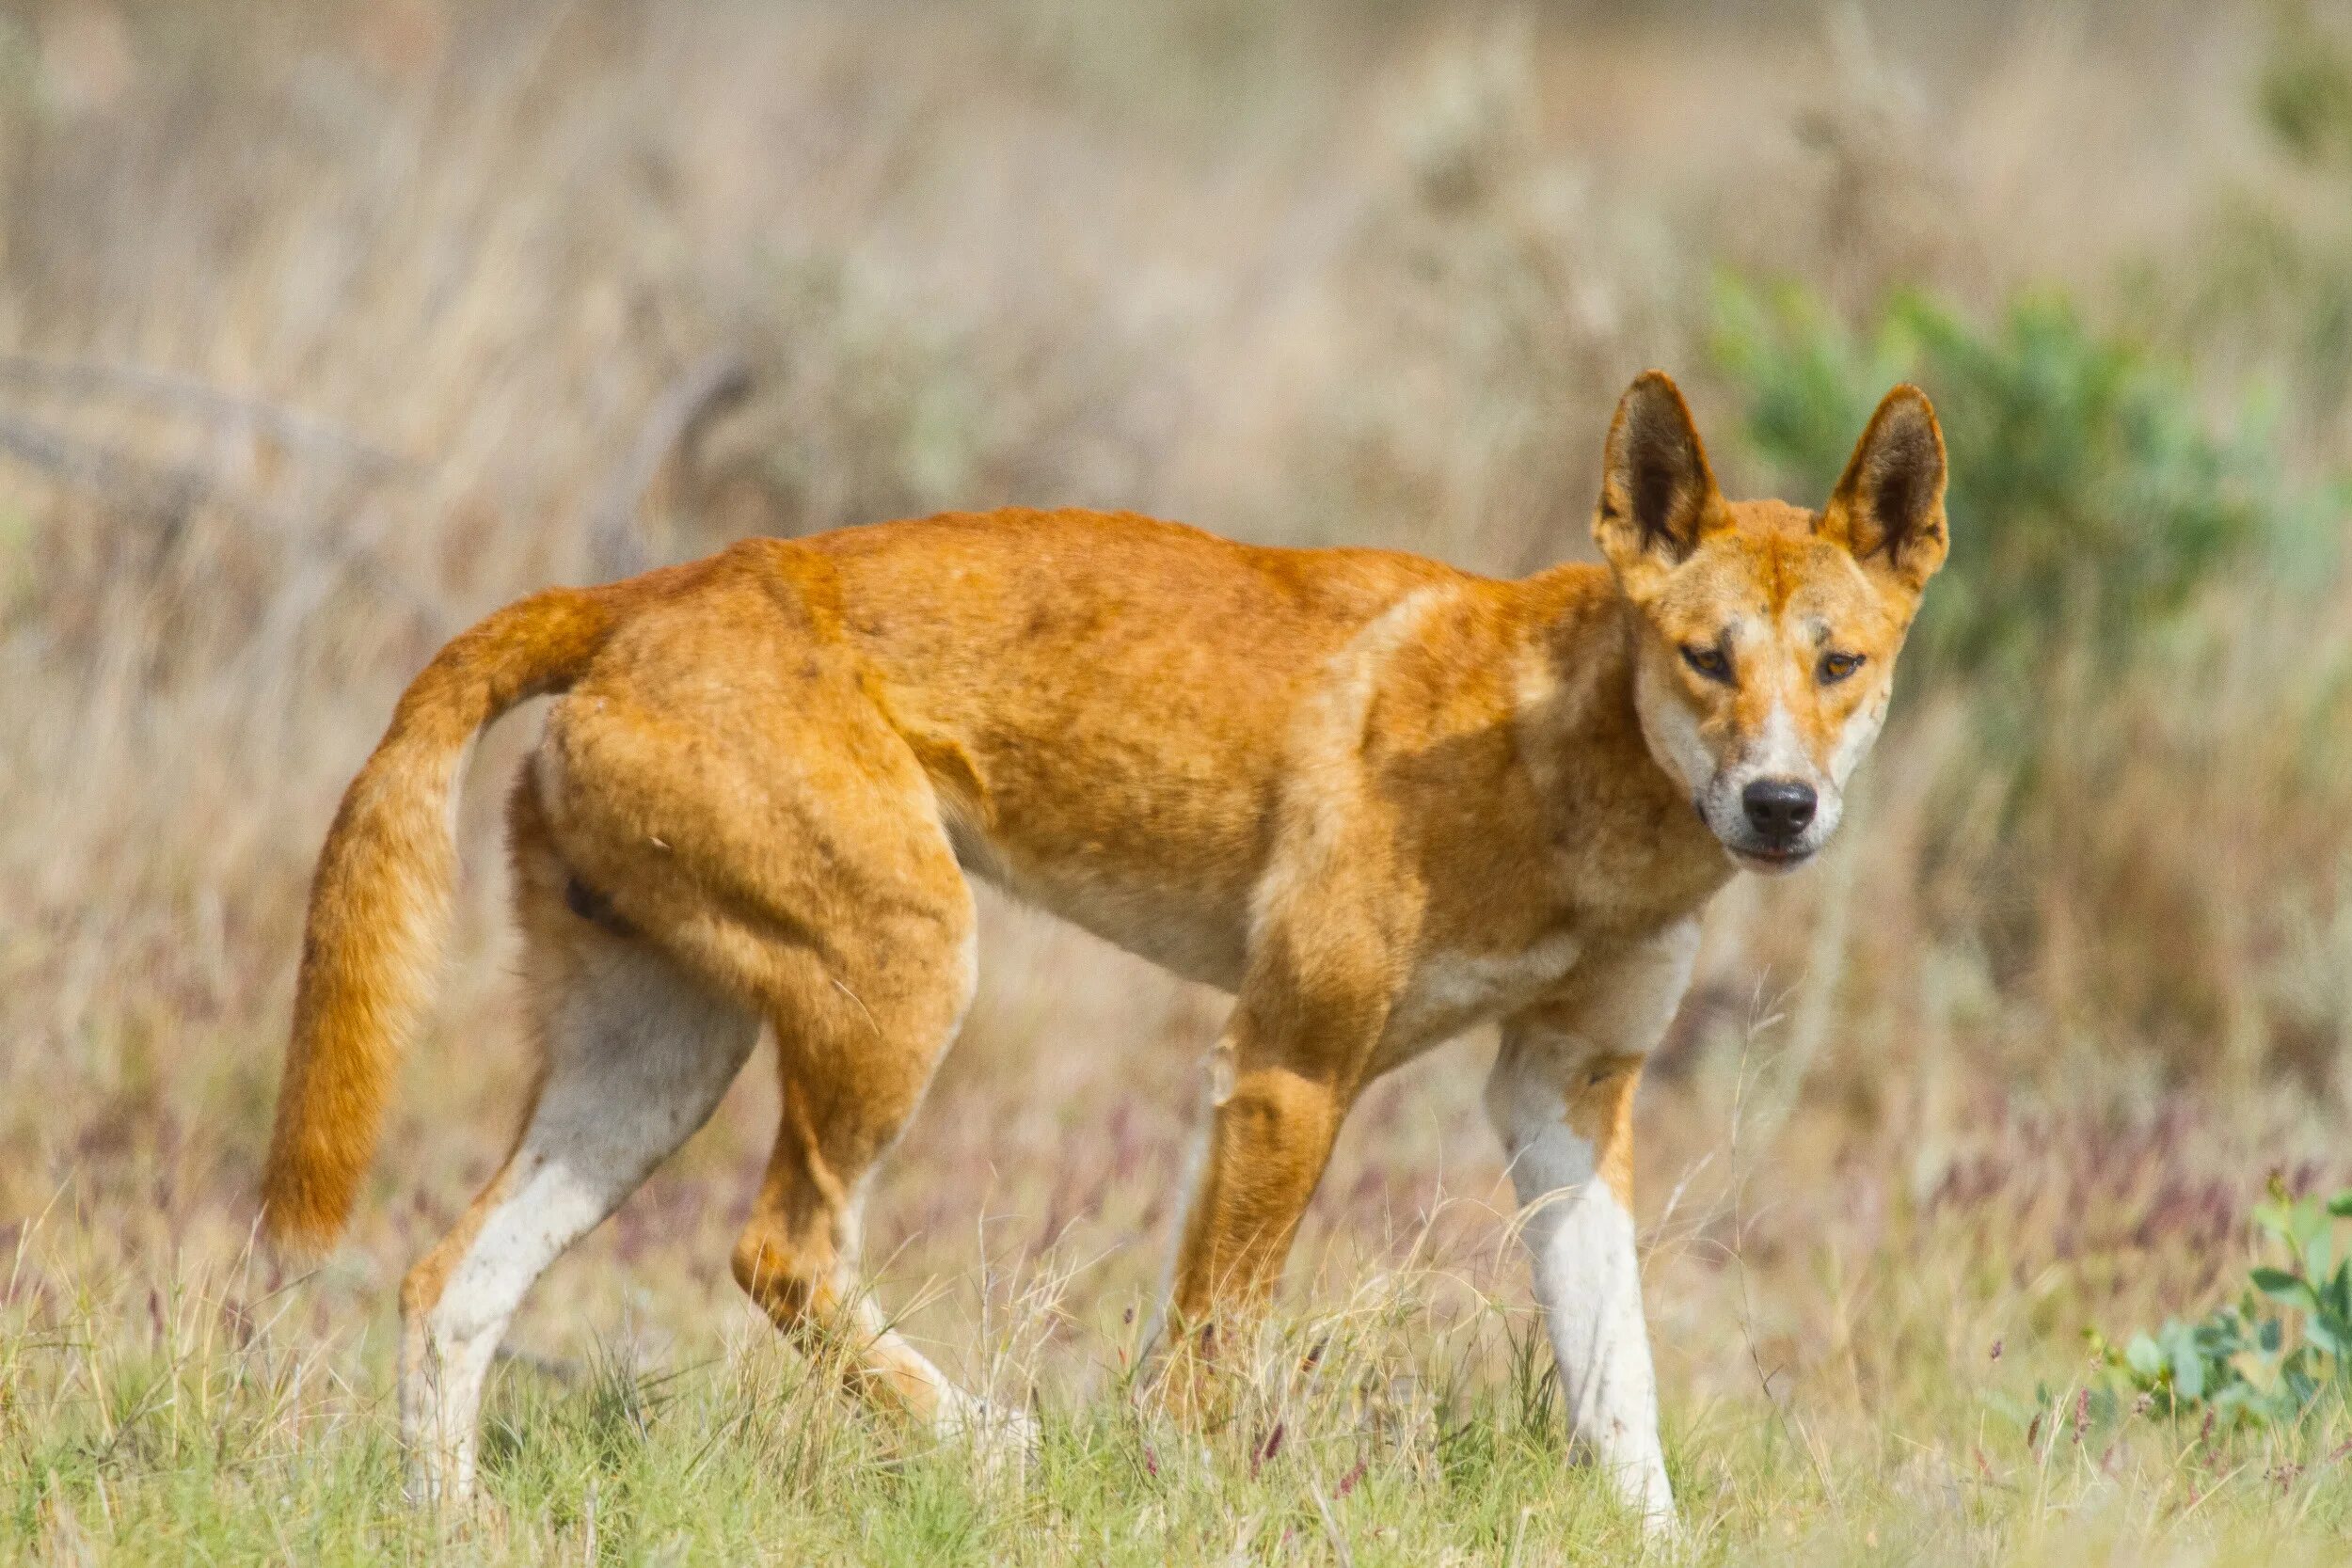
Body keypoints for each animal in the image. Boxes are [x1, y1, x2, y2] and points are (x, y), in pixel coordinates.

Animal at [262, 371, 1947, 1532]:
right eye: (1707, 660)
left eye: (1840, 666)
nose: (1780, 805)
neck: (1570, 768)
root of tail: (649, 585)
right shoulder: (1290, 1063)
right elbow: (1210, 1356)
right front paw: (1180, 1506)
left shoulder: (1557, 1093)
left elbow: (1618, 1380)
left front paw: (1651, 1534)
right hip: (906, 975)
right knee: (777, 1249)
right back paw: (988, 1440)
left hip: (655, 1064)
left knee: (446, 1283)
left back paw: (462, 1527)